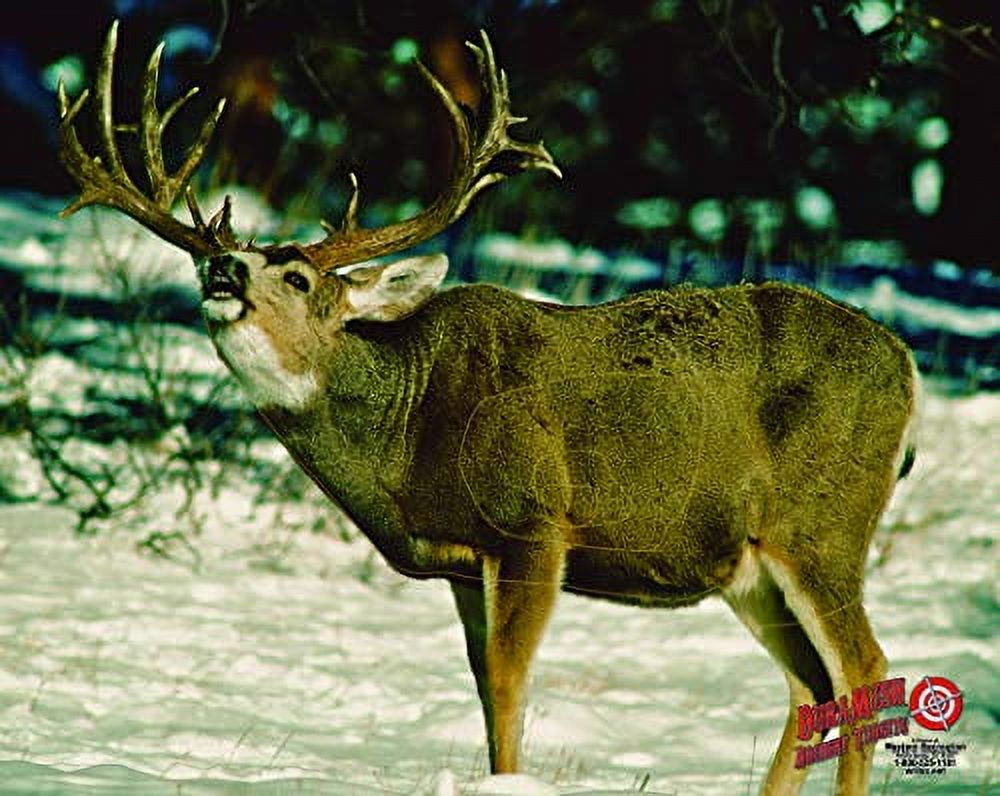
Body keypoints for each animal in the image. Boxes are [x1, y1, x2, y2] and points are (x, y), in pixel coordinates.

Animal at [57, 21, 918, 795]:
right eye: (214, 256)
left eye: (298, 277)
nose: (223, 271)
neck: (405, 436)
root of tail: (907, 370)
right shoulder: (464, 565)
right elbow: (479, 689)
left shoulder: (532, 520)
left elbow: (508, 685)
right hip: (751, 563)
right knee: (812, 686)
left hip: (823, 522)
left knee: (865, 667)